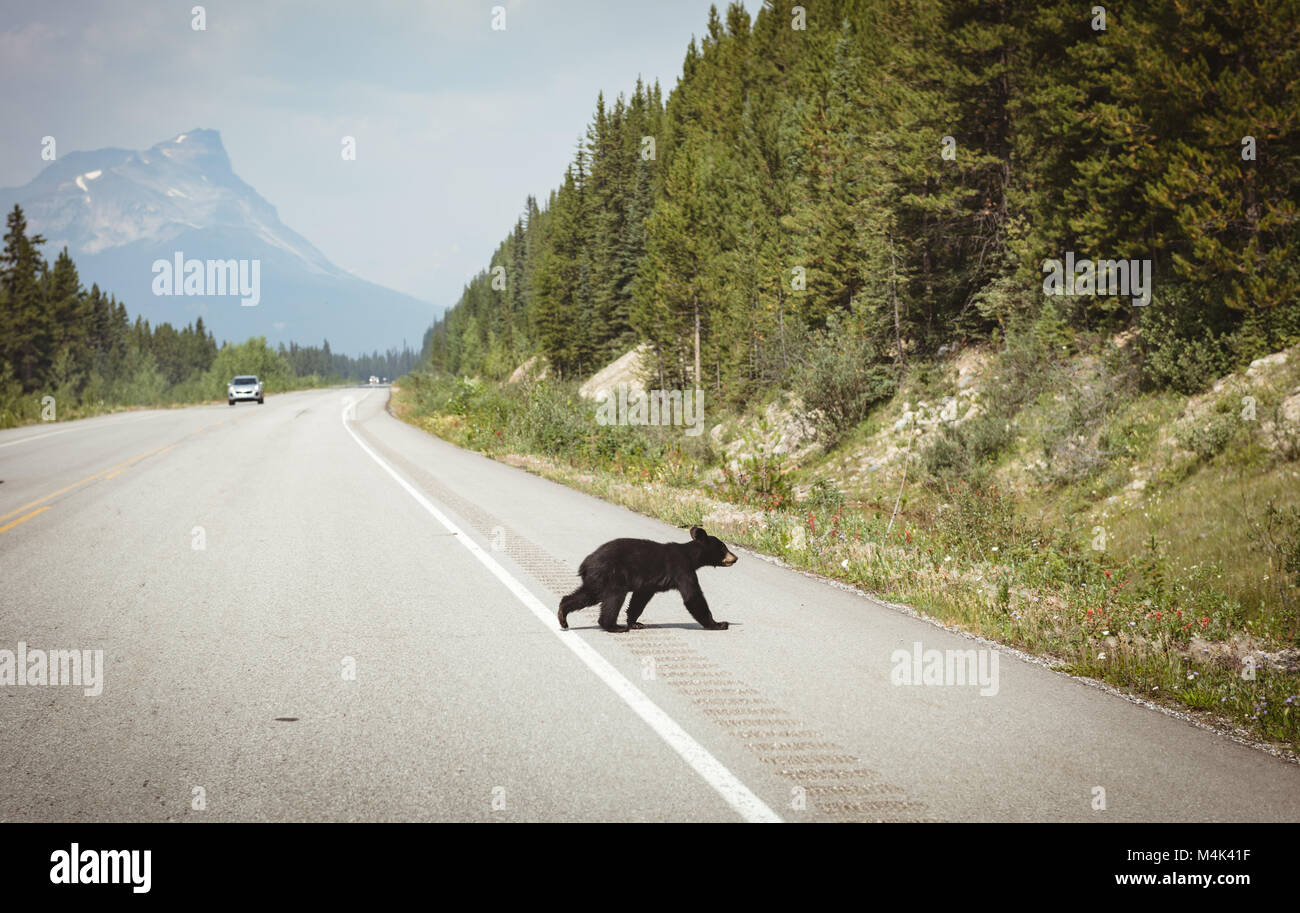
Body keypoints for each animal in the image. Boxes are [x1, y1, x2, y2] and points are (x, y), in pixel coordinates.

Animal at [558, 526, 738, 633]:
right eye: (723, 547)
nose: (735, 557)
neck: (691, 556)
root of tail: (586, 563)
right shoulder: (682, 569)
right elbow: (692, 596)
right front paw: (719, 624)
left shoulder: (648, 585)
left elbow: (639, 599)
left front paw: (635, 622)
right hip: (612, 576)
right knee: (614, 598)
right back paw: (614, 626)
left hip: (597, 580)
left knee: (586, 596)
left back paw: (563, 616)